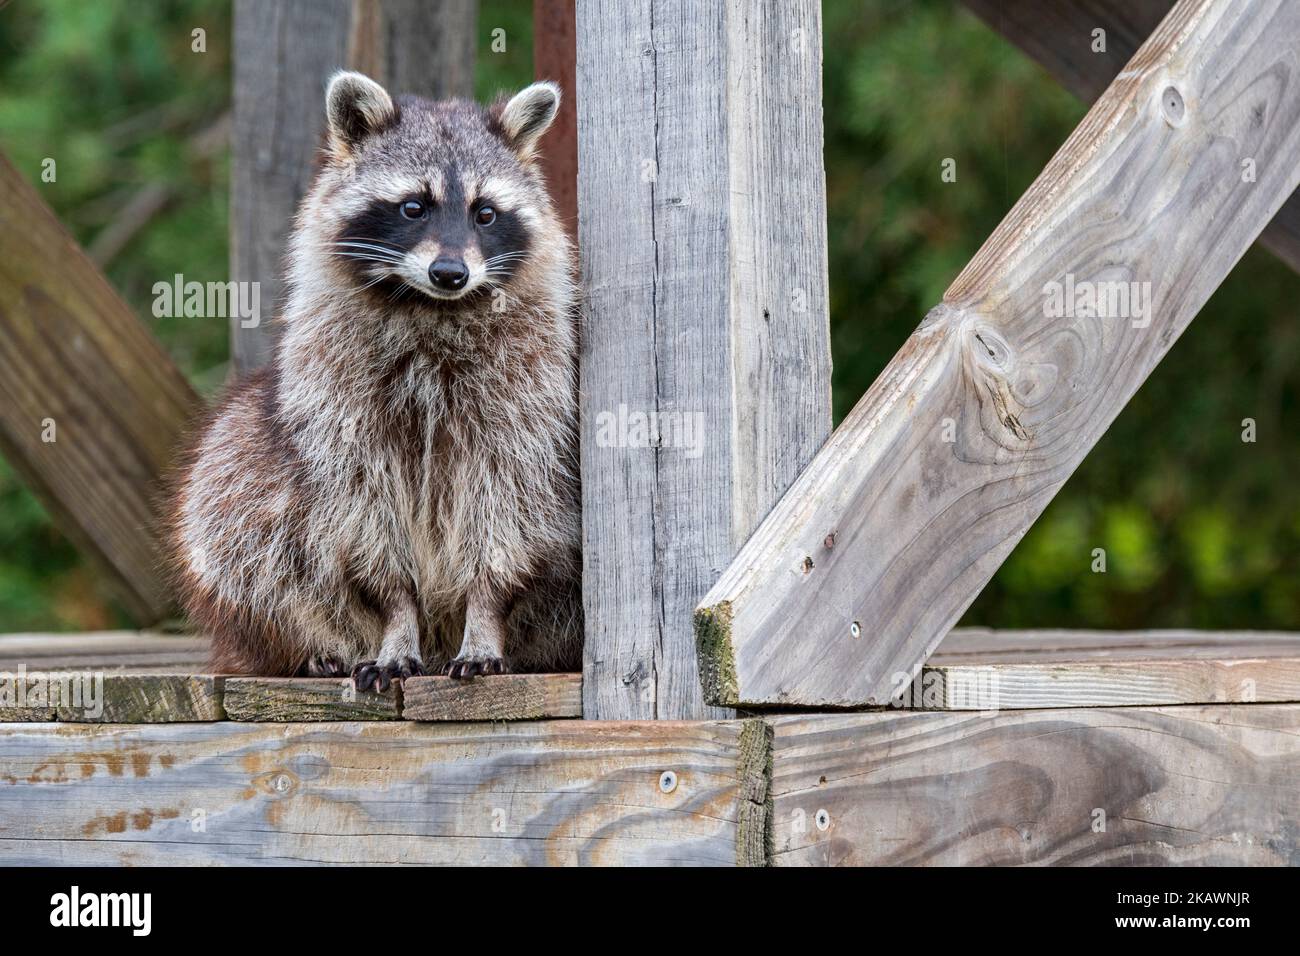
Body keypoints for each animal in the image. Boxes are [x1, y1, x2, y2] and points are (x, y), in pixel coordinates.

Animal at [166, 72, 581, 690]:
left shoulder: (527, 401)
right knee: (229, 497)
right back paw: (310, 645)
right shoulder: (334, 402)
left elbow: (508, 505)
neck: (432, 310)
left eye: (485, 213)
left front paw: (485, 614)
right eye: (413, 207)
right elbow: (363, 515)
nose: (451, 273)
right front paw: (396, 621)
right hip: (258, 445)